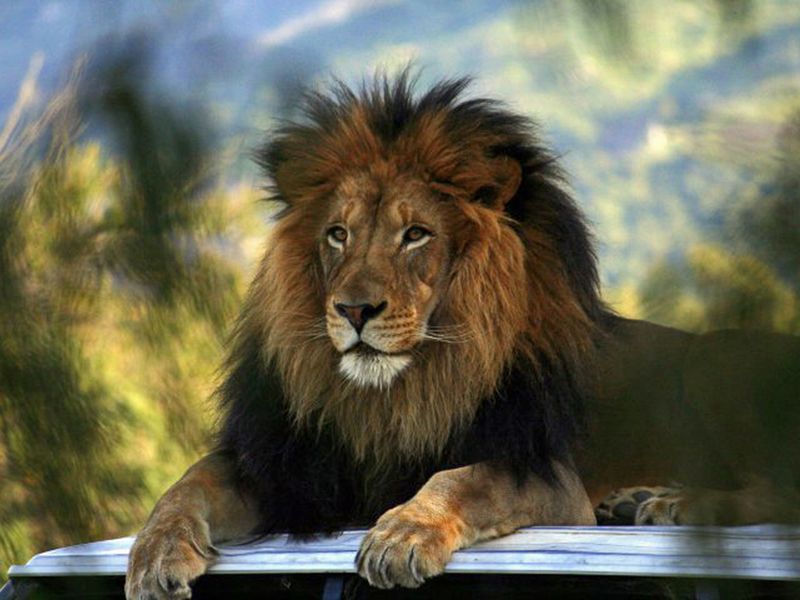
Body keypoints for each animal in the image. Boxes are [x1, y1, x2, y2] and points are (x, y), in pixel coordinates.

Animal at [125, 74, 800, 599]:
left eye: (416, 235)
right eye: (338, 234)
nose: (354, 309)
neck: (390, 399)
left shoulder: (549, 479)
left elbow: (466, 477)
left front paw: (402, 534)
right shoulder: (291, 466)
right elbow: (189, 484)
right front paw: (155, 552)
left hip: (715, 359)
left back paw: (674, 506)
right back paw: (639, 500)